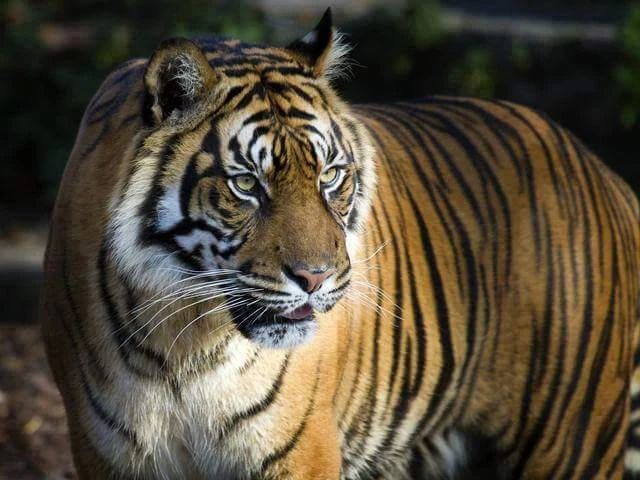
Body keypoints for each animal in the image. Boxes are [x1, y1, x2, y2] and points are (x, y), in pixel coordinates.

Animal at [40, 7, 640, 479]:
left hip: (571, 441)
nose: (315, 277)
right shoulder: (103, 452)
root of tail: (599, 167)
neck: (182, 346)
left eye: (330, 176)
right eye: (246, 184)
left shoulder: (299, 449)